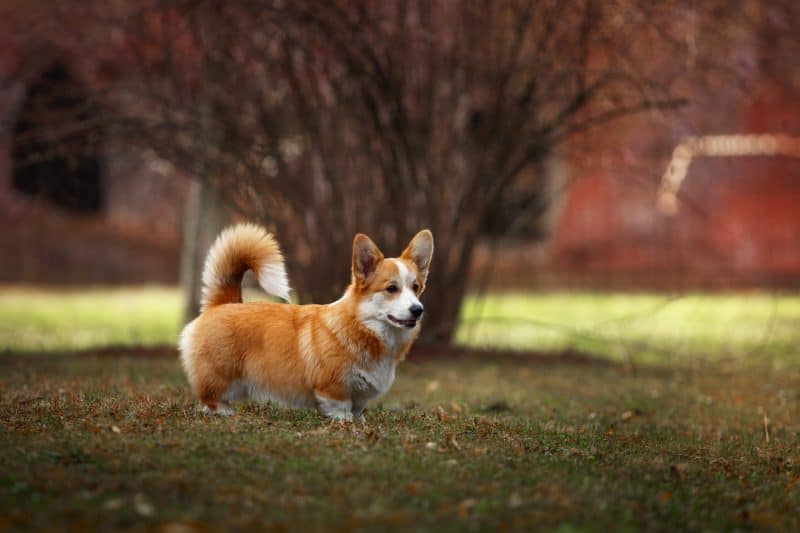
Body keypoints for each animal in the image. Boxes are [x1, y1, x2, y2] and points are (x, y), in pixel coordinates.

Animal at [179, 223, 434, 420]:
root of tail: (223, 303)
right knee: (210, 398)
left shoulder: (360, 396)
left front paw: (360, 424)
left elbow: (358, 410)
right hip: (221, 376)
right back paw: (225, 413)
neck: (364, 327)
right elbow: (341, 410)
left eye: (416, 287)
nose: (418, 310)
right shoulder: (333, 390)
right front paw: (345, 425)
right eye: (391, 288)